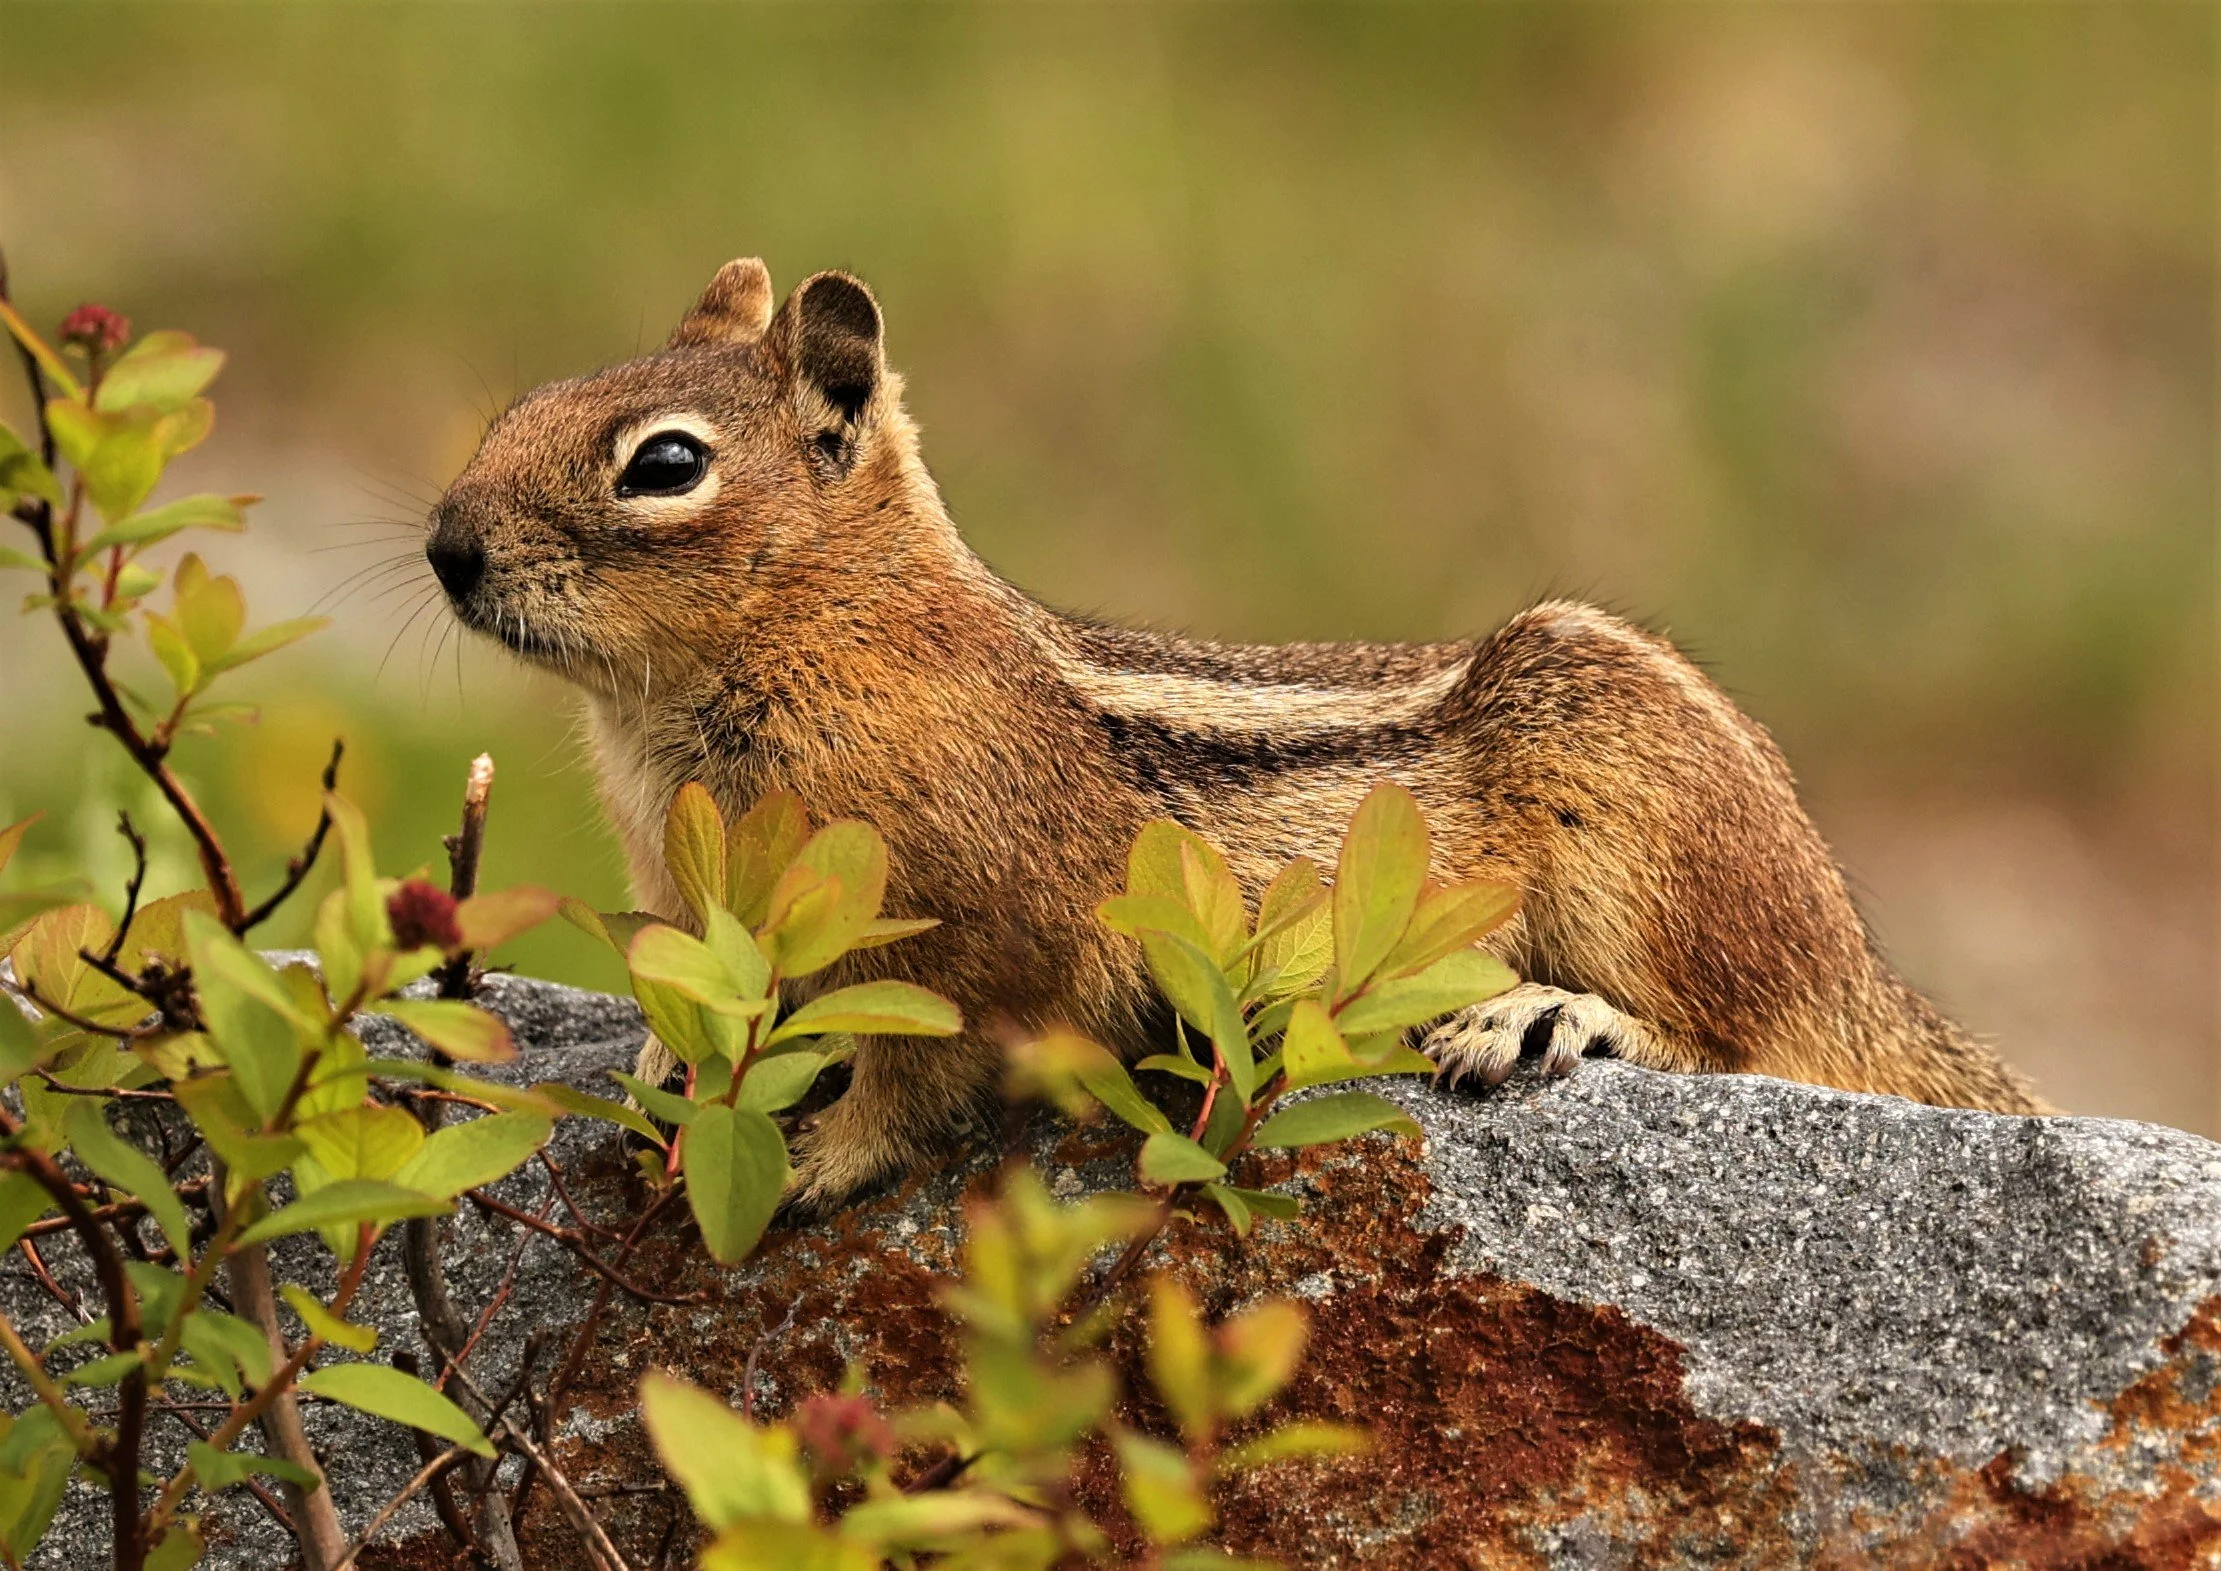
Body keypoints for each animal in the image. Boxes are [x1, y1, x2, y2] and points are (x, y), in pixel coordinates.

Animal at [425, 257, 2047, 1209]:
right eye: (524, 403)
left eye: (665, 466)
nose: (445, 545)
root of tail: (1862, 965)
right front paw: (662, 1066)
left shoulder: (991, 937)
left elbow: (921, 1073)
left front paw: (822, 1158)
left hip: (1649, 835)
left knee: (1751, 1040)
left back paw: (1544, 1016)